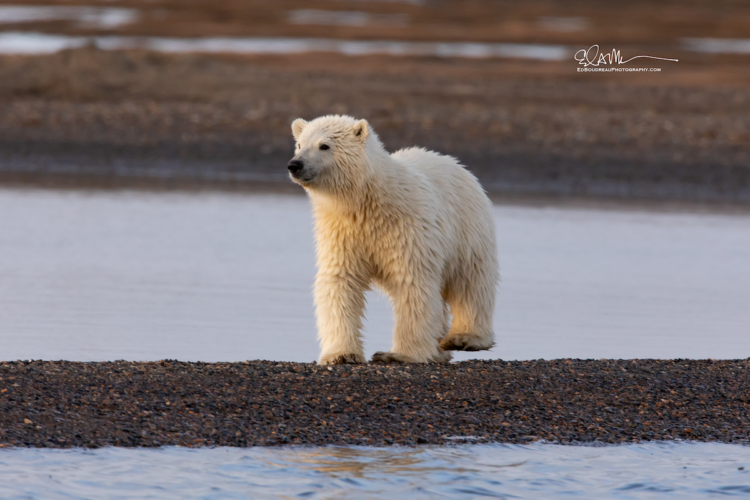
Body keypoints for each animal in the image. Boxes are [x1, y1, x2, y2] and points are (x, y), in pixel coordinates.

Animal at [288, 115, 498, 365]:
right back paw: (439, 350)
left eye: (324, 145)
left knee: (470, 283)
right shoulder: (341, 233)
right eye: (299, 144)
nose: (295, 165)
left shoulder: (407, 231)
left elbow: (412, 284)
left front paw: (399, 354)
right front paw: (341, 355)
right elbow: (340, 281)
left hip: (467, 229)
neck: (369, 201)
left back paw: (465, 337)